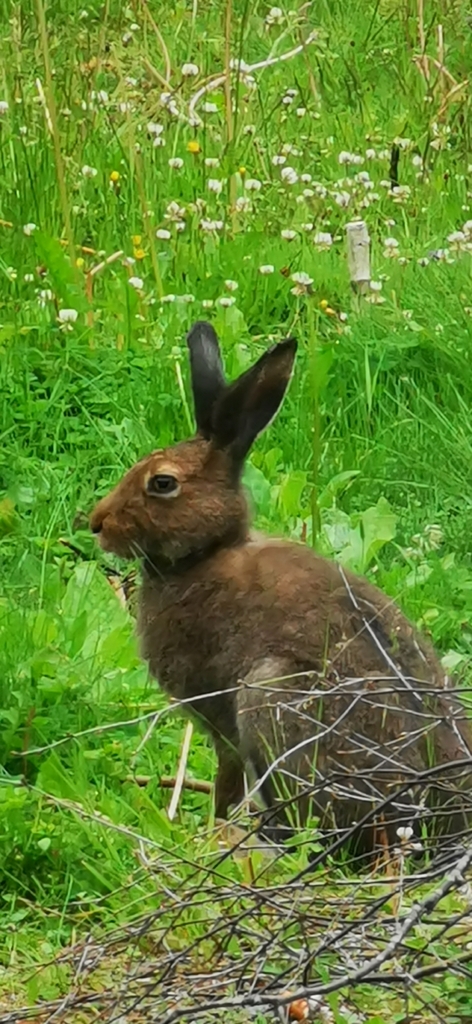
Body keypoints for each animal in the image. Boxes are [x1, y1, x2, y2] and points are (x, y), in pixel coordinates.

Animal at [90, 321, 472, 854]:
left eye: (162, 483)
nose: (96, 523)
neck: (206, 553)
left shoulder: (221, 721)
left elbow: (228, 776)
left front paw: (212, 829)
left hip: (268, 696)